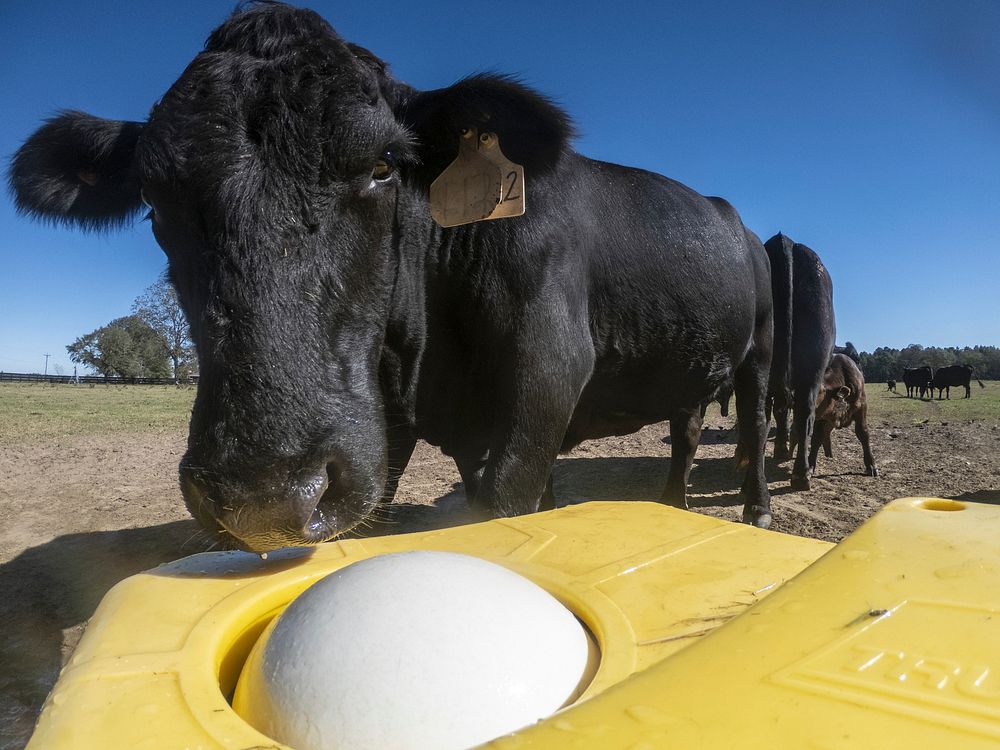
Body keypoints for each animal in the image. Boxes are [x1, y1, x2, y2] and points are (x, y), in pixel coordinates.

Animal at [10, 3, 775, 552]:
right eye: (154, 201)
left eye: (384, 163)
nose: (265, 494)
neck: (429, 358)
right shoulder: (396, 417)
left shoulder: (547, 376)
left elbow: (505, 499)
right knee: (685, 429)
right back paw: (672, 508)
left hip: (760, 352)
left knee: (753, 423)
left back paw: (758, 508)